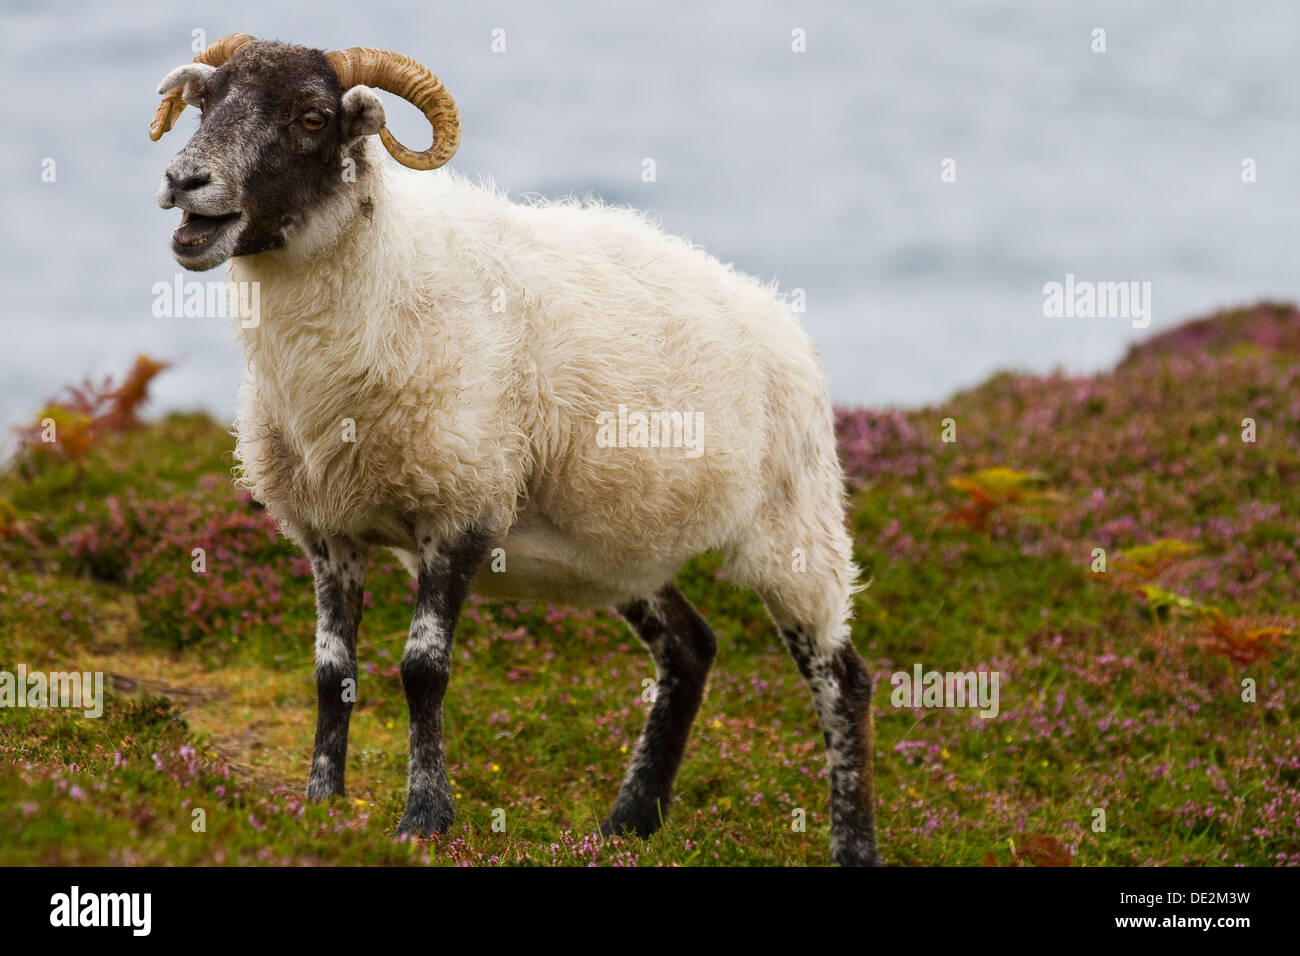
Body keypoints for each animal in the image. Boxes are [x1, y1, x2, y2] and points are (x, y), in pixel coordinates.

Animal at [152, 34, 880, 866]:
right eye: (207, 103)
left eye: (311, 116)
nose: (183, 180)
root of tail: (781, 320)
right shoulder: (327, 528)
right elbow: (332, 674)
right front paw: (321, 809)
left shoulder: (463, 508)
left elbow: (422, 670)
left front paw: (424, 818)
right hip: (621, 550)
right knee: (690, 648)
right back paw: (629, 821)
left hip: (794, 525)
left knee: (842, 678)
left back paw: (852, 844)